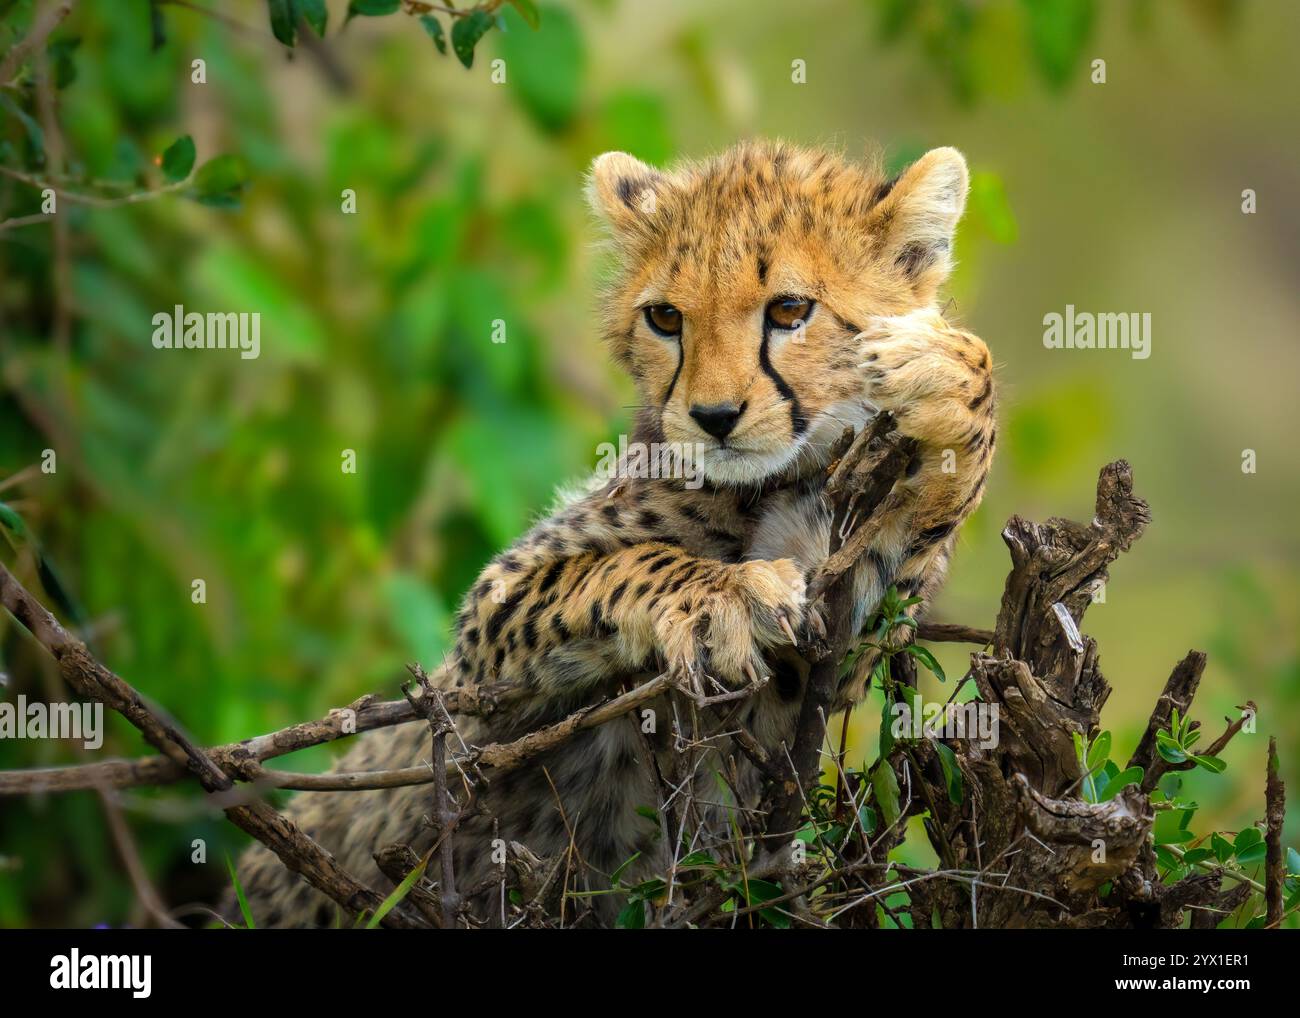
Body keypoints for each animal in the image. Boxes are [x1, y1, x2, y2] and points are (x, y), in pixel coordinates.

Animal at [232, 140, 996, 927]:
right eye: (665, 317)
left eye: (790, 309)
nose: (714, 417)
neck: (771, 483)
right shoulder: (488, 633)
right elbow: (623, 566)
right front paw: (722, 597)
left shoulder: (825, 657)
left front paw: (946, 376)